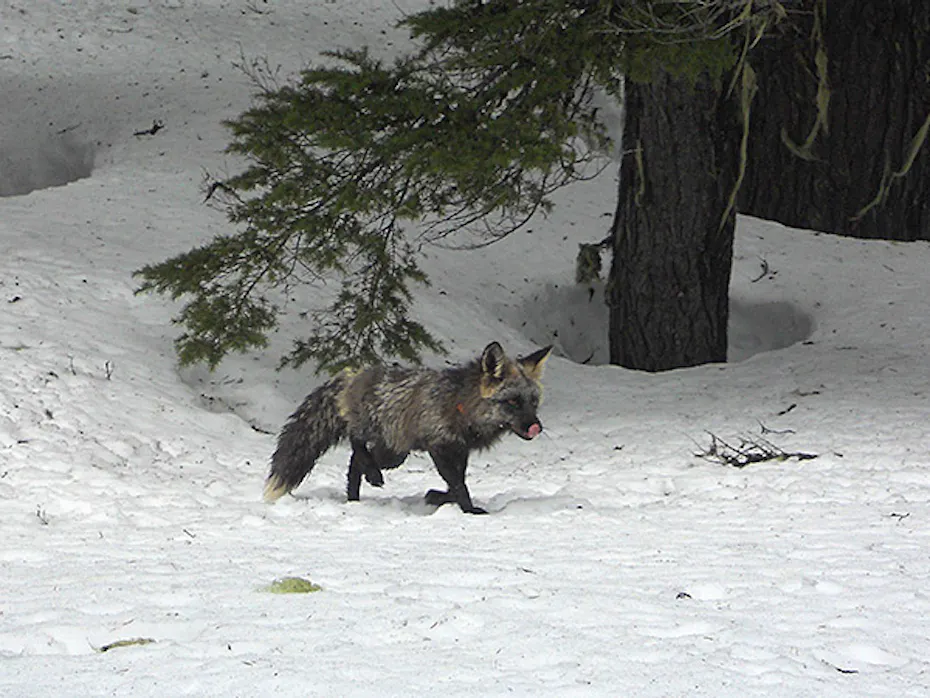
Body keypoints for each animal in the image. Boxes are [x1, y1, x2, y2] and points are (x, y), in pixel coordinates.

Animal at [263, 342, 553, 514]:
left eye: (533, 402)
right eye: (512, 402)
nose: (536, 427)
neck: (461, 406)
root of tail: (351, 373)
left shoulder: (460, 450)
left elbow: (455, 483)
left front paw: (438, 497)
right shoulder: (440, 446)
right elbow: (458, 484)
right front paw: (469, 510)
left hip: (394, 451)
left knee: (354, 463)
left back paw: (354, 497)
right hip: (386, 444)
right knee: (356, 444)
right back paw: (371, 476)